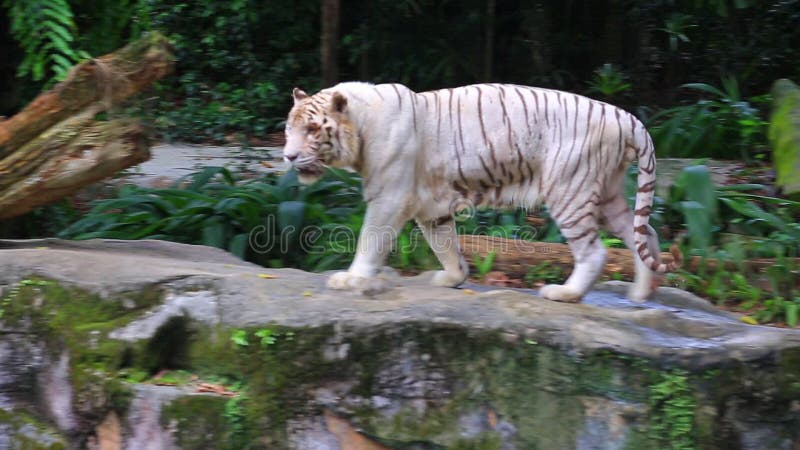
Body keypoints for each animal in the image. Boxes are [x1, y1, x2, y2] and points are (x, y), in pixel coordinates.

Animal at [283, 82, 682, 302]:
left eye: (313, 130)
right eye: (288, 129)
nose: (287, 156)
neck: (360, 130)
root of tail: (626, 116)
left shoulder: (388, 197)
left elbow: (370, 240)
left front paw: (351, 279)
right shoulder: (431, 206)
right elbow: (445, 246)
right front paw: (453, 278)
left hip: (571, 191)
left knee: (596, 251)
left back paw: (565, 293)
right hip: (607, 195)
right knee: (645, 232)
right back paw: (642, 293)